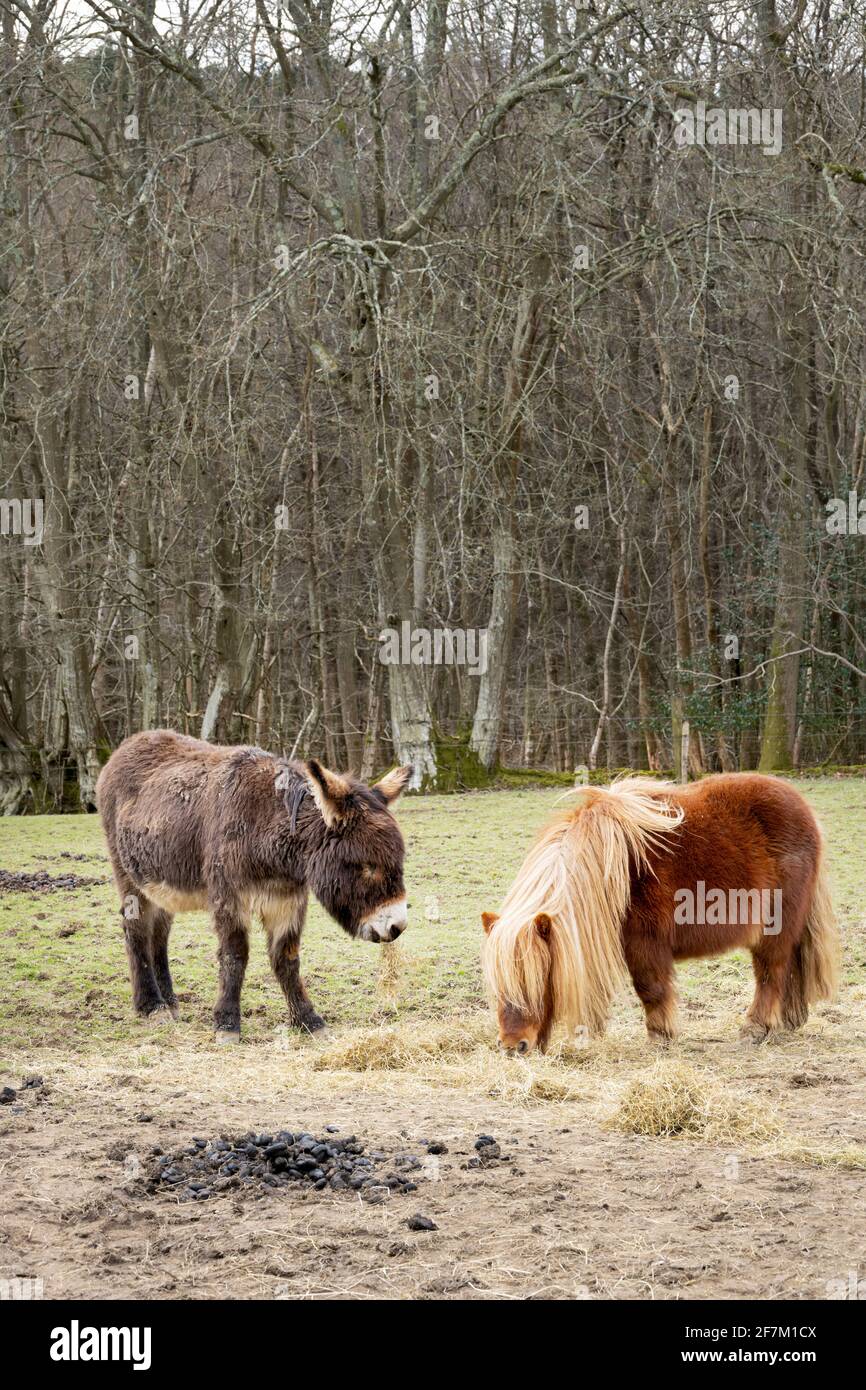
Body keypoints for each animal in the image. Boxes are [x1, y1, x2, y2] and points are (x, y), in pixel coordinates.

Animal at [96, 730, 411, 1042]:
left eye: (398, 860)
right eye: (368, 866)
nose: (397, 927)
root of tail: (131, 743)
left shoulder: (287, 900)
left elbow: (287, 959)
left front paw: (309, 1021)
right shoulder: (229, 897)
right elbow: (234, 956)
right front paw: (227, 1024)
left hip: (161, 885)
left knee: (159, 934)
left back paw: (171, 1003)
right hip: (129, 876)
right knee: (136, 931)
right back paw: (152, 1006)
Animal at [481, 774, 840, 1053]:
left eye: (536, 979)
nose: (513, 1046)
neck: (615, 869)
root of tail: (803, 809)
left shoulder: (645, 942)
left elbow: (650, 989)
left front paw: (660, 1037)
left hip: (775, 928)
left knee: (771, 972)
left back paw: (756, 1028)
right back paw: (788, 1022)